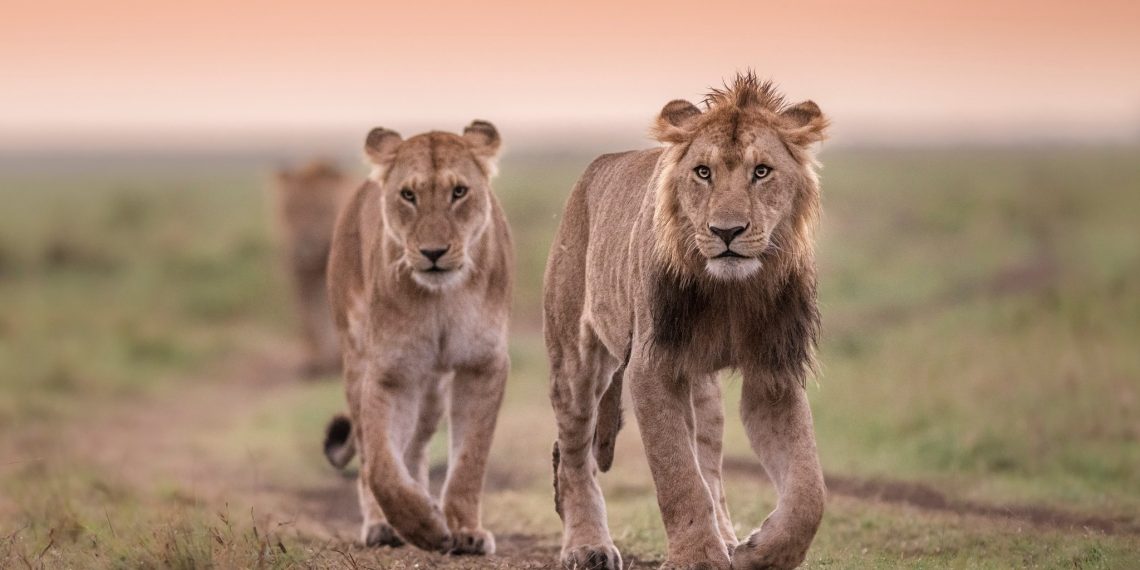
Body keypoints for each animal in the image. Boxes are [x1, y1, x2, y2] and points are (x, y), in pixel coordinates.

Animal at [273, 160, 352, 377]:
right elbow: (309, 318)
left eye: (318, 210)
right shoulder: (303, 278)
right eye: (290, 211)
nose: (302, 245)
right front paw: (314, 362)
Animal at [320, 121, 513, 556]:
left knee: (416, 447)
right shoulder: (389, 373)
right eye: (408, 195)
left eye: (459, 192)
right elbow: (380, 466)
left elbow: (470, 458)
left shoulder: (483, 365)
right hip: (357, 360)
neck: (442, 299)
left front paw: (464, 530)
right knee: (371, 454)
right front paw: (422, 527)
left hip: (431, 389)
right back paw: (384, 526)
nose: (433, 252)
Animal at [544, 72, 829, 570]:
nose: (727, 232)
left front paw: (760, 553)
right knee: (575, 454)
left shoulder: (773, 373)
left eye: (762, 171)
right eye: (703, 172)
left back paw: (729, 537)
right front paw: (698, 557)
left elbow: (808, 491)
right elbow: (678, 475)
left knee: (710, 461)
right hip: (575, 358)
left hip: (702, 386)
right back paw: (588, 546)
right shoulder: (652, 365)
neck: (730, 291)